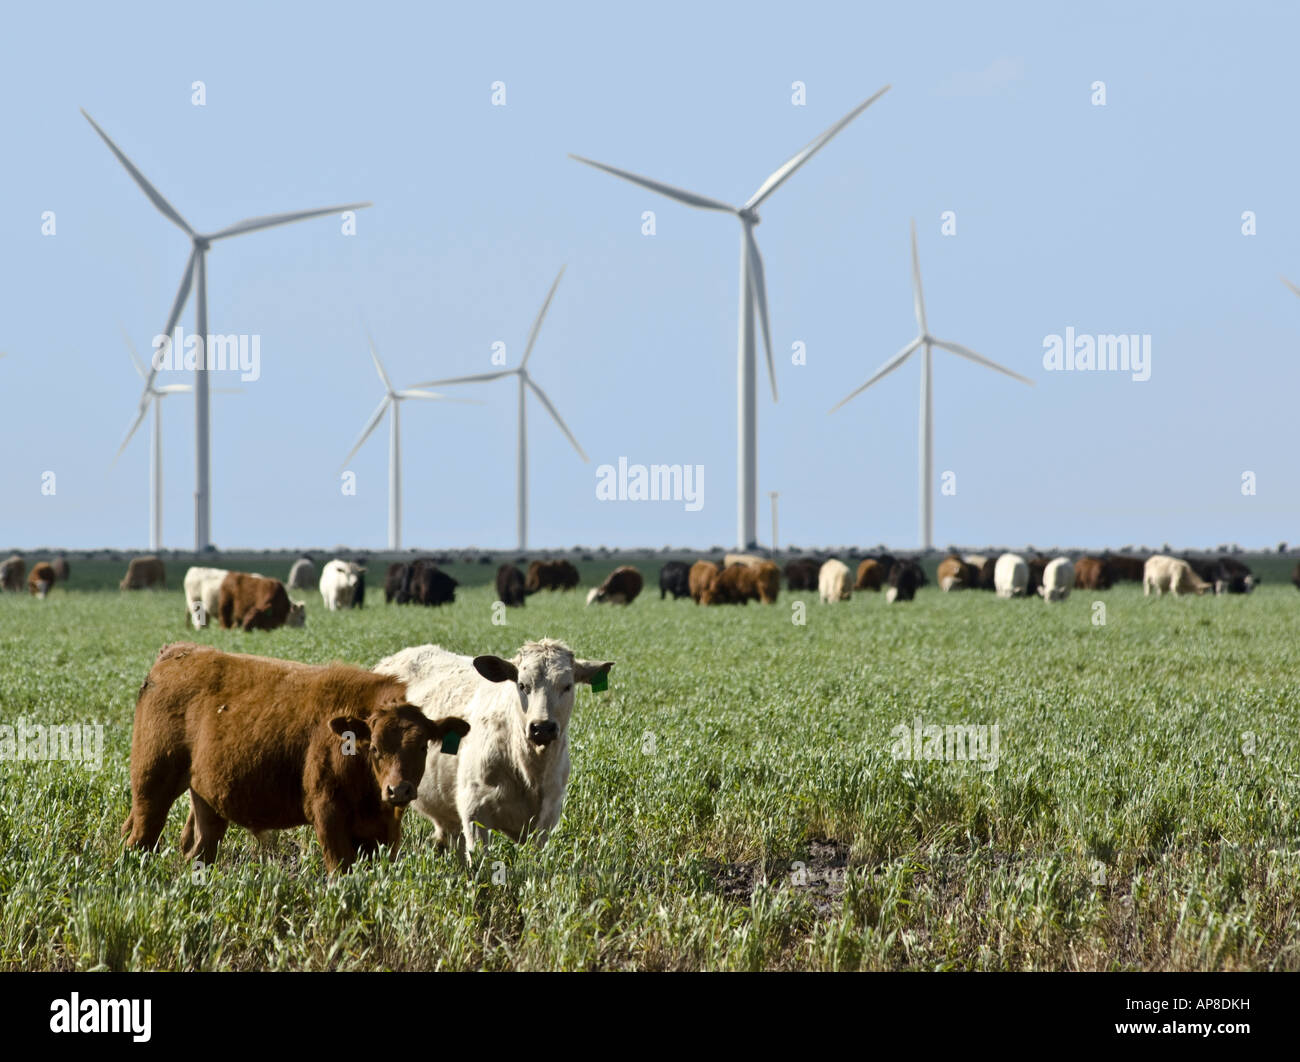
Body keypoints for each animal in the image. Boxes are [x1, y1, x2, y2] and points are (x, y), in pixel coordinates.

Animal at [124, 642, 469, 872]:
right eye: (374, 748)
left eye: (423, 746)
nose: (399, 790)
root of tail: (178, 652)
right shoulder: (328, 816)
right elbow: (340, 871)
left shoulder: (382, 833)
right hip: (152, 787)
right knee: (139, 840)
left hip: (206, 800)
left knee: (198, 850)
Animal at [373, 639, 612, 855]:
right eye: (522, 685)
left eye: (567, 686)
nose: (542, 727)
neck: (530, 770)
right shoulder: (474, 810)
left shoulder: (548, 816)